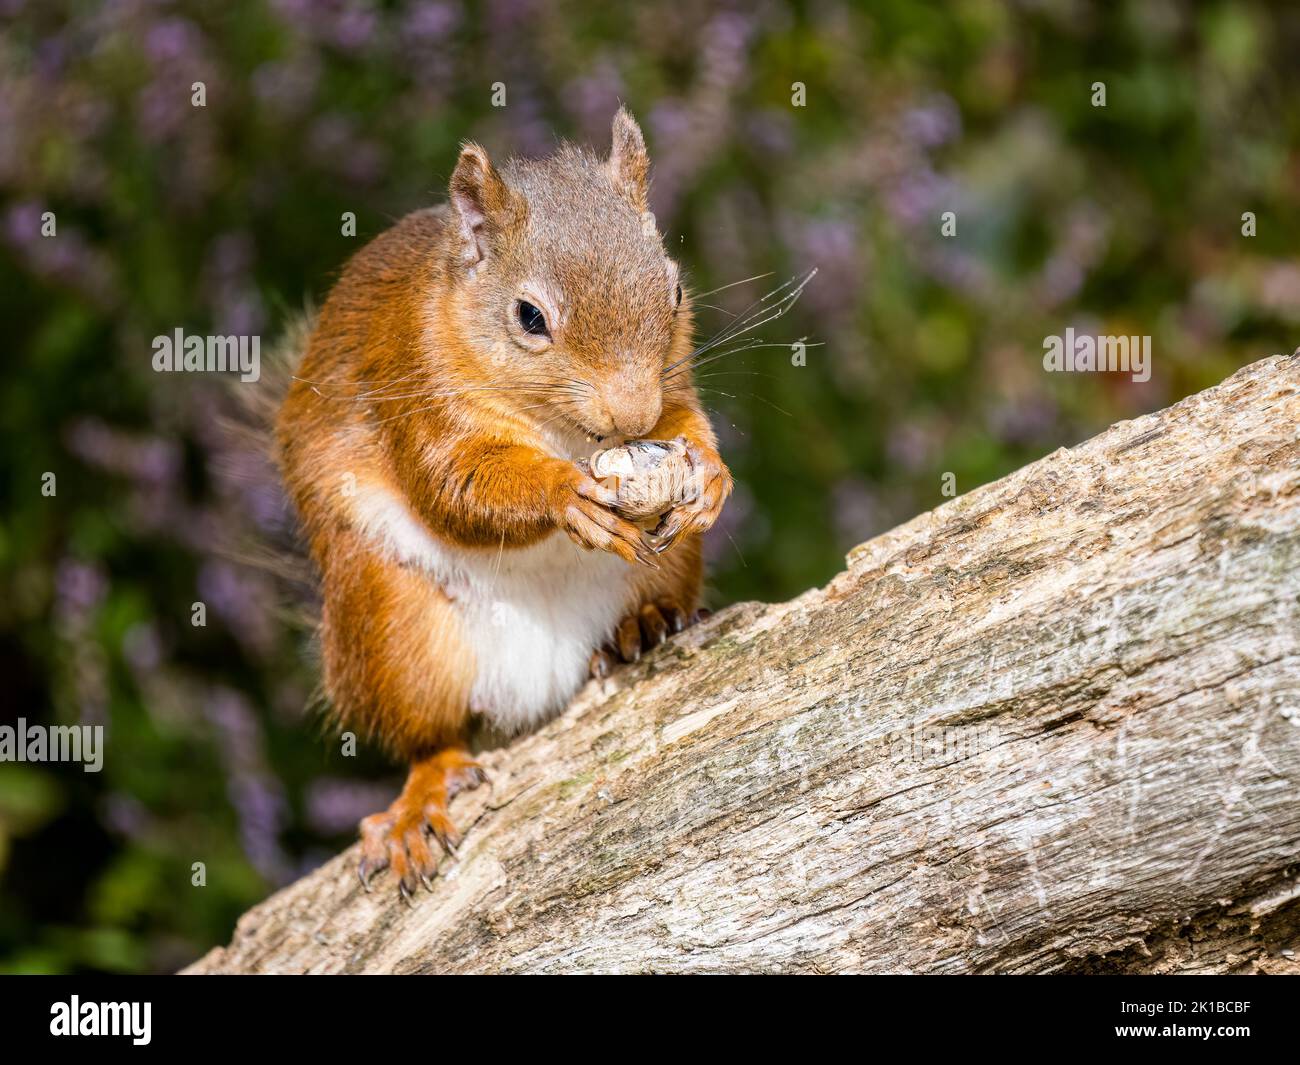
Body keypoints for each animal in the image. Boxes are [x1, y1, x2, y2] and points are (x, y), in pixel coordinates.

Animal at [275, 109, 732, 900]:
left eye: (674, 289)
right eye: (529, 317)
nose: (633, 414)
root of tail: (537, 681)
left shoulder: (673, 387)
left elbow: (687, 419)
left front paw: (710, 475)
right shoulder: (414, 380)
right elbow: (453, 484)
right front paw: (564, 494)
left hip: (663, 570)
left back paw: (644, 626)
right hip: (392, 621)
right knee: (430, 735)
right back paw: (421, 798)